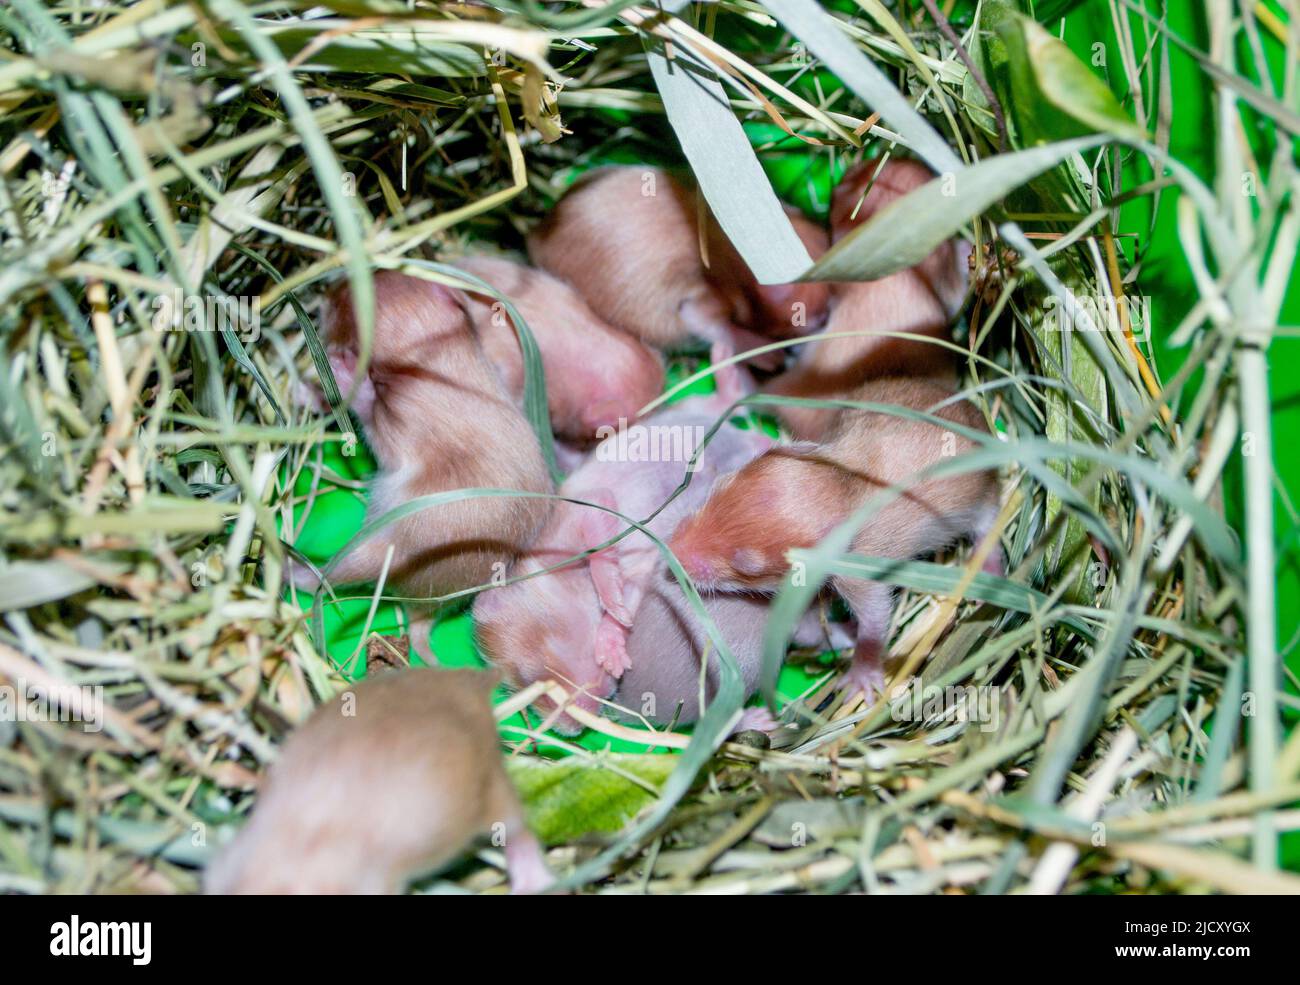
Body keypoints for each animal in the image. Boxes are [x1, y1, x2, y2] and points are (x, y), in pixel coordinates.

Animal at [296, 271, 553, 660]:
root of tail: (425, 611)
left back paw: (290, 568)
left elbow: (369, 414)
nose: (326, 291)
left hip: (373, 547)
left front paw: (339, 370)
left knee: (325, 578)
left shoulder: (400, 424)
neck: (435, 352)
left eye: (345, 301)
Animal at [473, 348, 773, 734]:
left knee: (720, 403)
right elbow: (623, 604)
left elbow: (602, 554)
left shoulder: (583, 519)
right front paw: (614, 646)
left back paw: (725, 368)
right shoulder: (640, 579)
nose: (576, 729)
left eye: (531, 678)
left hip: (684, 412)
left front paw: (610, 614)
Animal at [669, 377, 1002, 697]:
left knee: (989, 526)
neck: (844, 484)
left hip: (981, 499)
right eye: (718, 488)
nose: (670, 552)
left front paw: (861, 674)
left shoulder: (859, 572)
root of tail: (979, 417)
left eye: (748, 567)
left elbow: (874, 619)